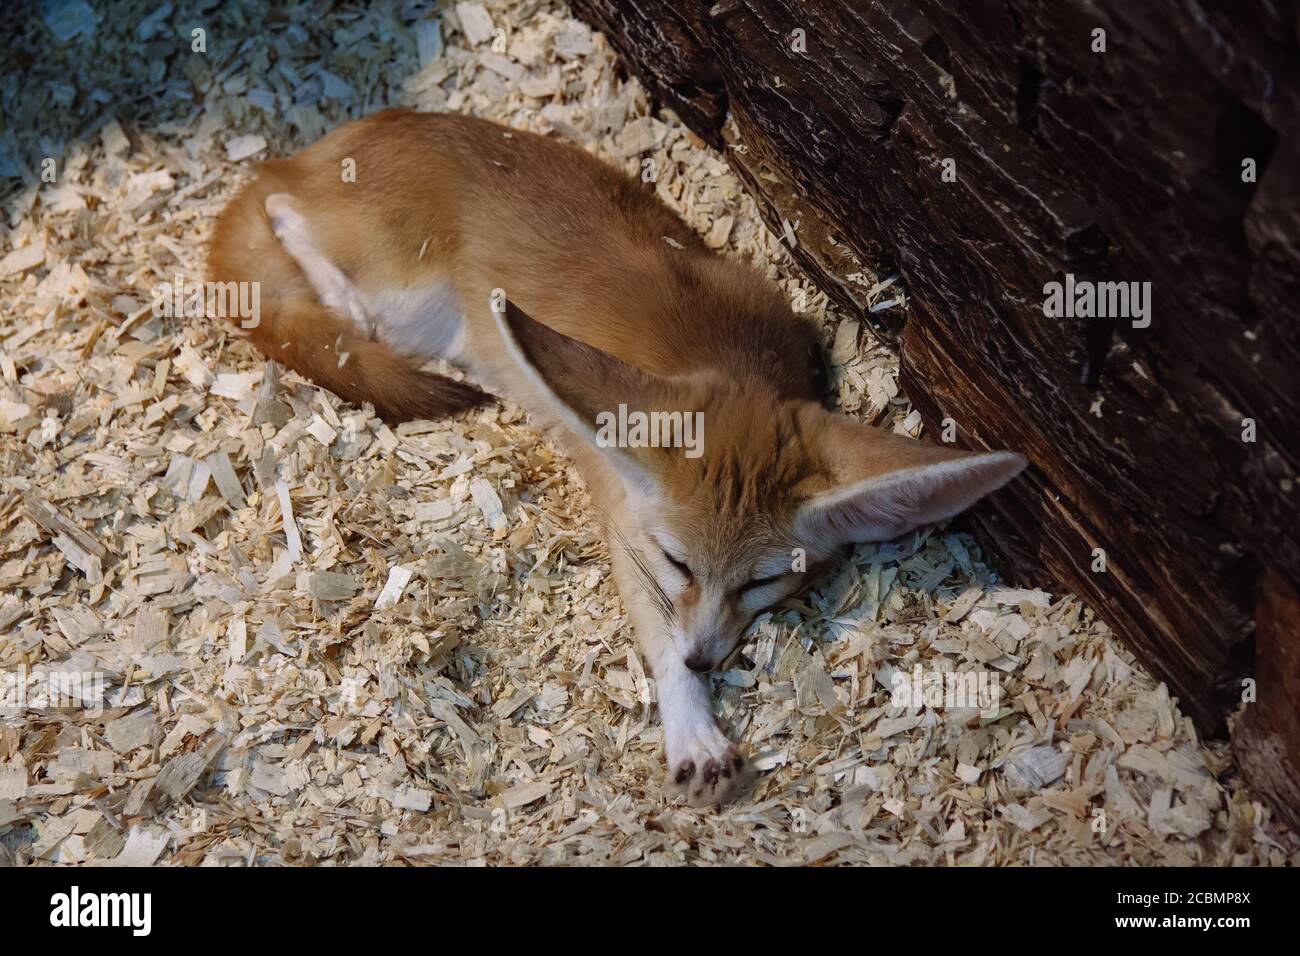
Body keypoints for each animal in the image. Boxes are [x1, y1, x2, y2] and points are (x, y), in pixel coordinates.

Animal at [207, 109, 1027, 806]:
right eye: (679, 564)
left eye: (763, 582)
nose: (705, 662)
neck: (730, 359)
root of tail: (309, 151)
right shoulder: (627, 530)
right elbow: (657, 627)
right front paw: (692, 727)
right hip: (410, 305)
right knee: (287, 221)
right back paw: (333, 289)